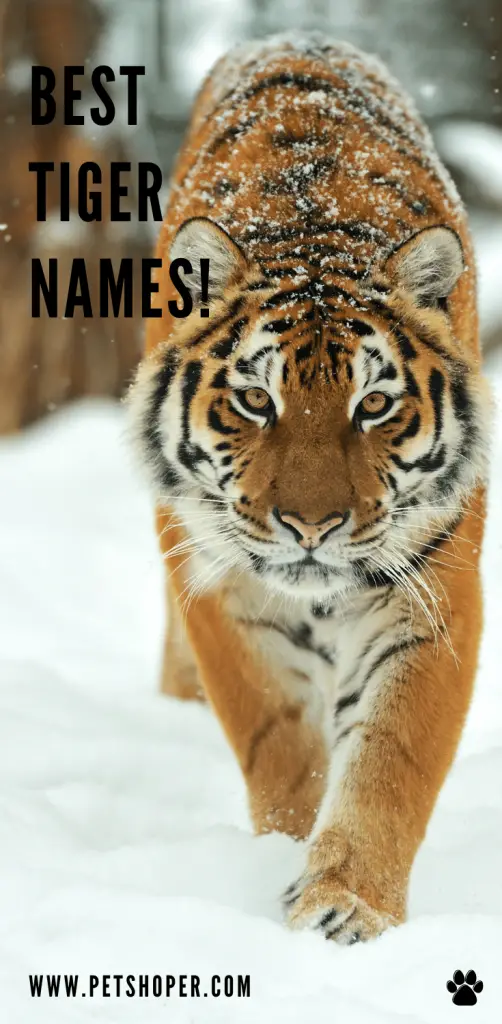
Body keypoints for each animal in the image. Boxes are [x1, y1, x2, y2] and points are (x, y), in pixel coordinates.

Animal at [127, 32, 491, 944]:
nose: (312, 526)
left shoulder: (432, 594)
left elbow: (390, 760)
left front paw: (347, 906)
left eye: (374, 406)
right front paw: (281, 863)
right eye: (257, 401)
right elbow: (282, 749)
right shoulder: (221, 588)